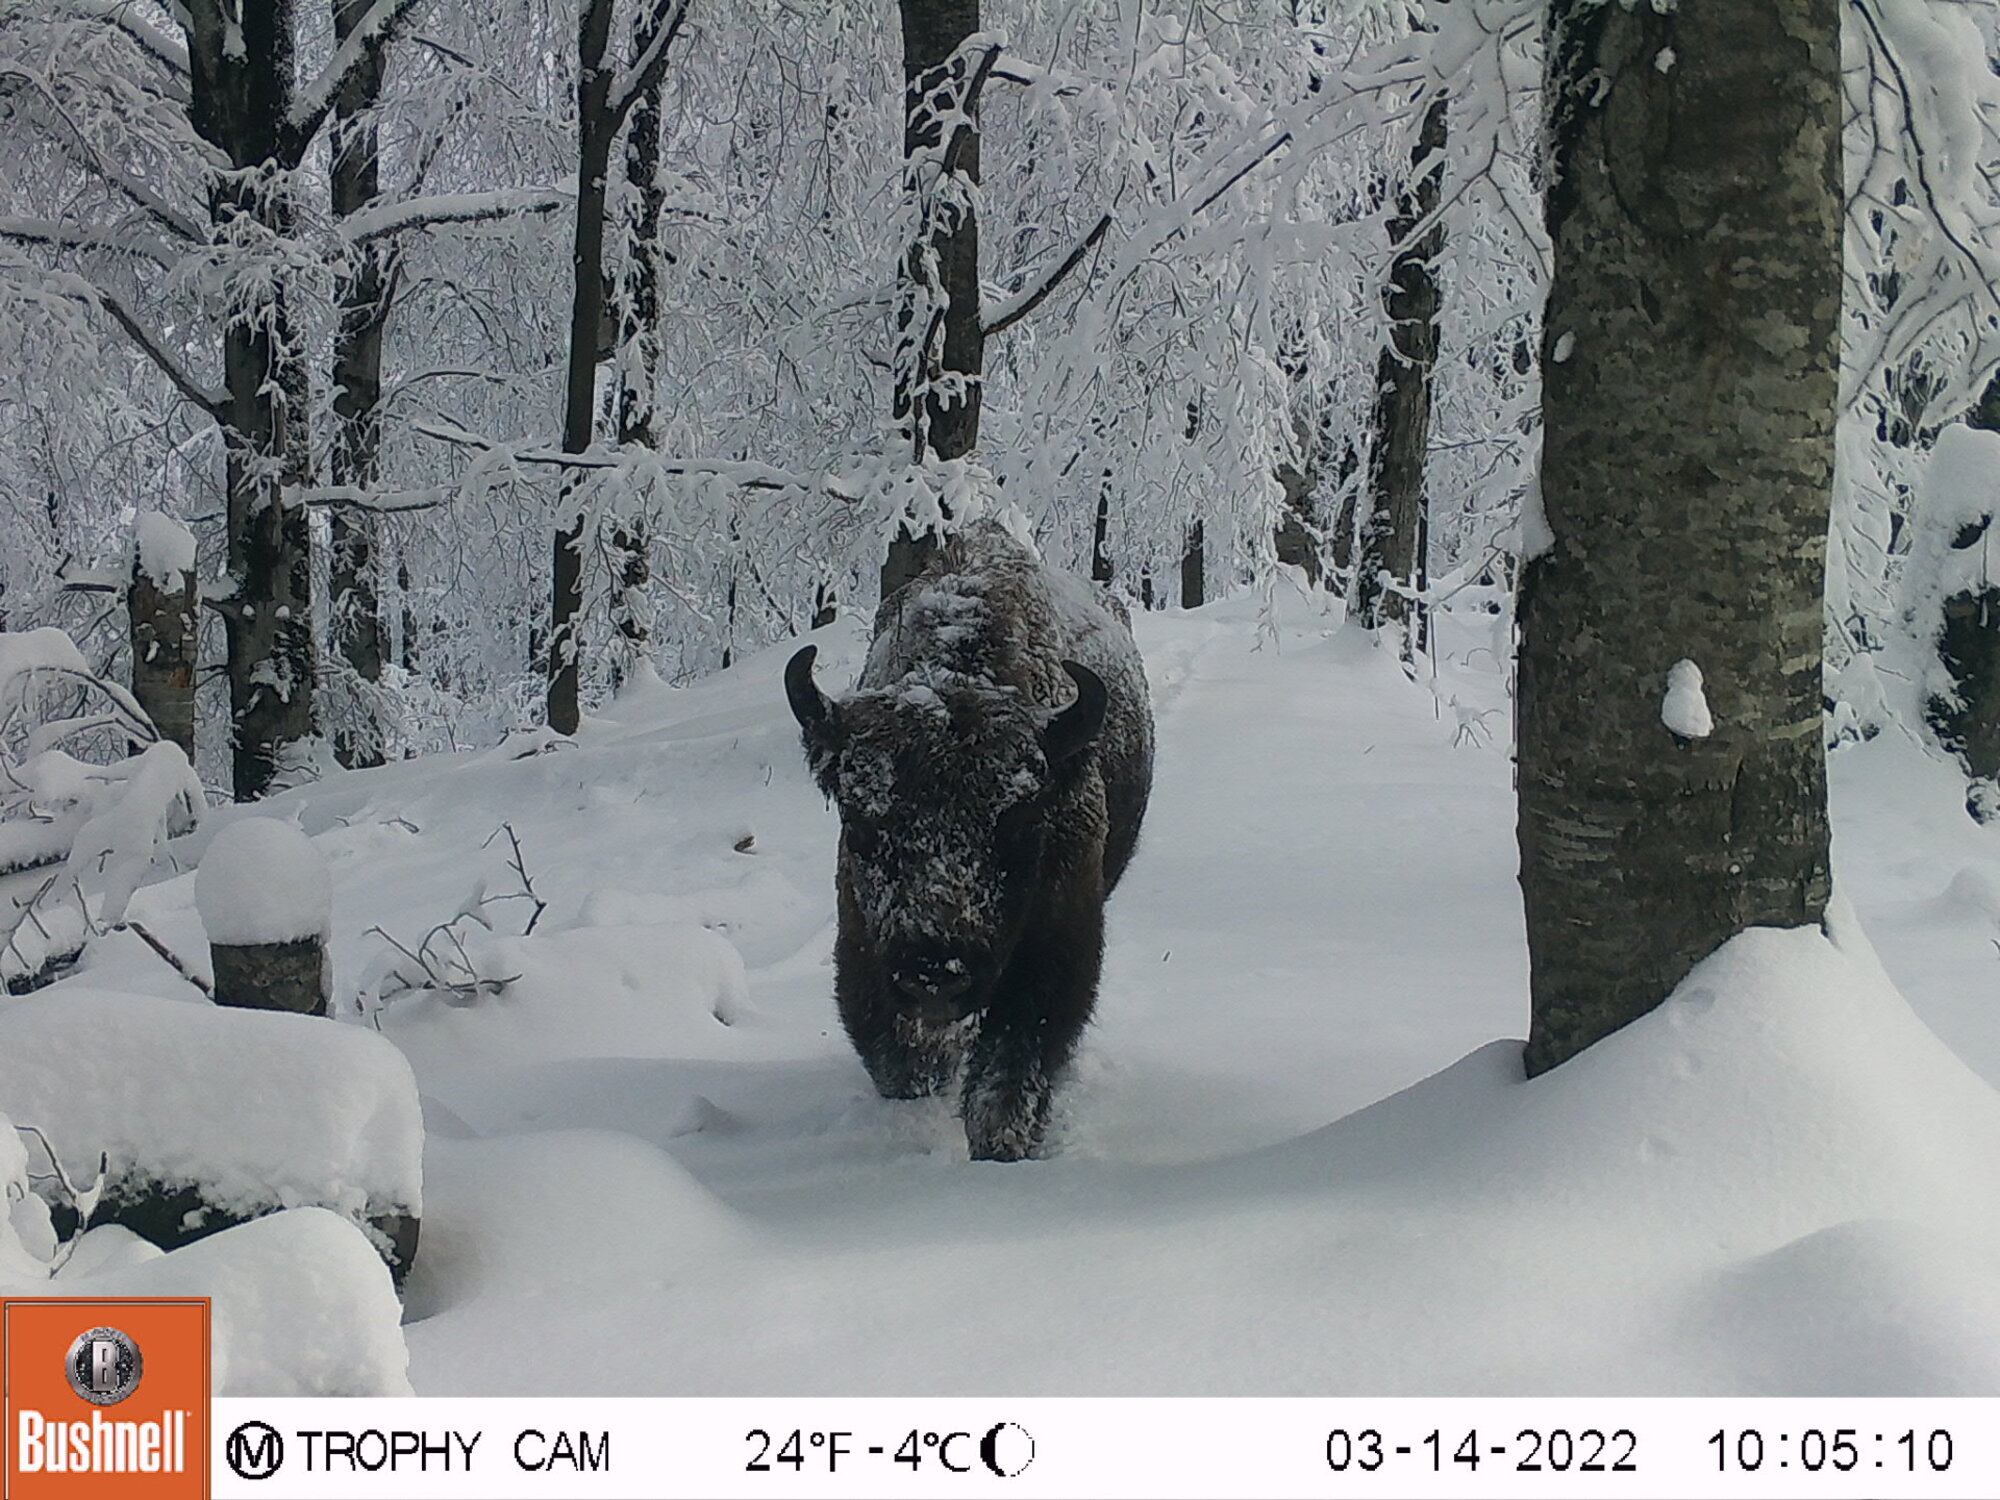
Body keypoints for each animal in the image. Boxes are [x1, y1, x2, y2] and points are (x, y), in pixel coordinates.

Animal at [786, 521, 1154, 1160]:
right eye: (859, 819)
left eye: (1022, 819)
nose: (936, 972)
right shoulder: (862, 946)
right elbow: (899, 1060)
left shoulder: (1056, 948)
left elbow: (1008, 1072)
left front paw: (1001, 1145)